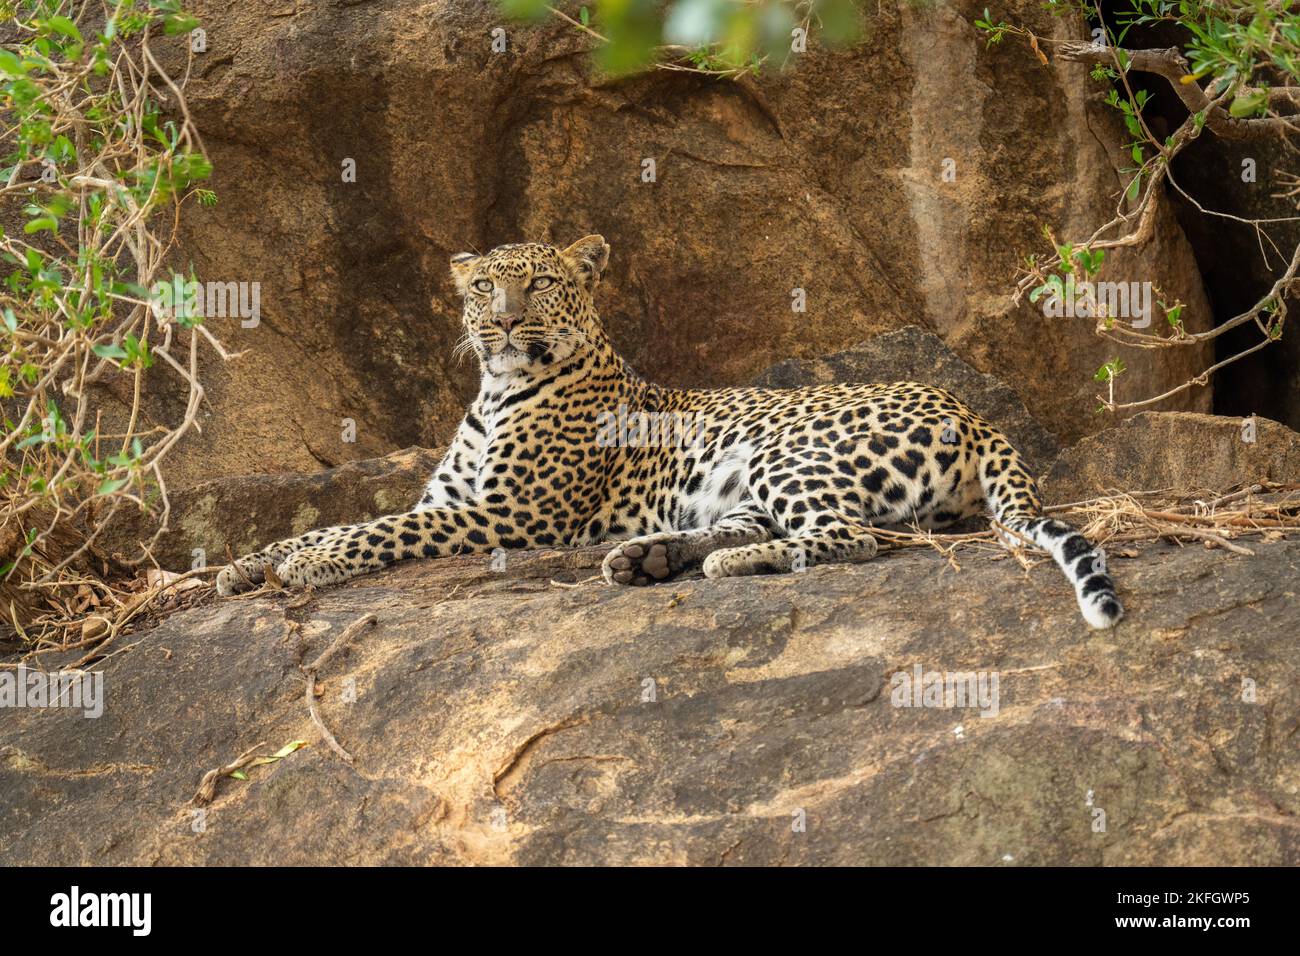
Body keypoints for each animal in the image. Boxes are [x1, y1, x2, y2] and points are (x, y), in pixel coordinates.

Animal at [216, 235, 1123, 629]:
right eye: (480, 288)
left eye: (537, 283)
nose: (501, 322)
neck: (495, 387)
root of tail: (974, 412)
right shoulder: (453, 497)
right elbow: (349, 520)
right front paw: (243, 566)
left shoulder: (513, 515)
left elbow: (379, 532)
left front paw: (308, 564)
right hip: (748, 481)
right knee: (764, 527)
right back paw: (648, 558)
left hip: (788, 452)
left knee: (852, 538)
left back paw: (719, 565)